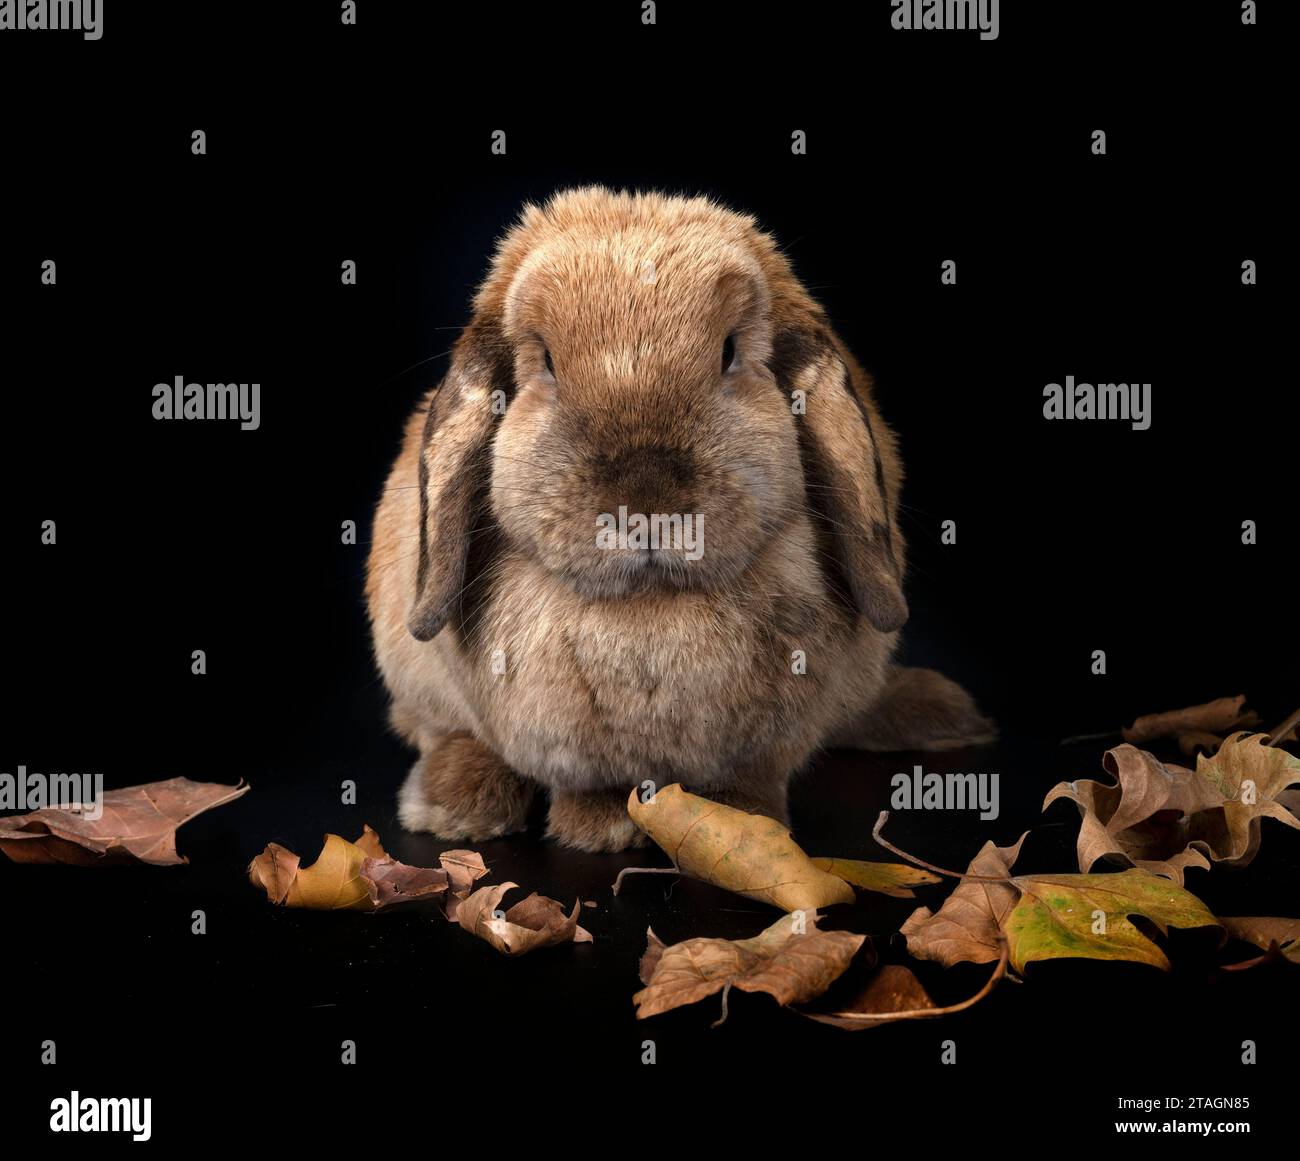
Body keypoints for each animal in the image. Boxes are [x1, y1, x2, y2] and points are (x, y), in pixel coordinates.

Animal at [366, 186, 995, 852]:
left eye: (729, 353)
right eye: (547, 362)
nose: (645, 506)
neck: (649, 606)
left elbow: (748, 780)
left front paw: (742, 825)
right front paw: (603, 828)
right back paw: (456, 804)